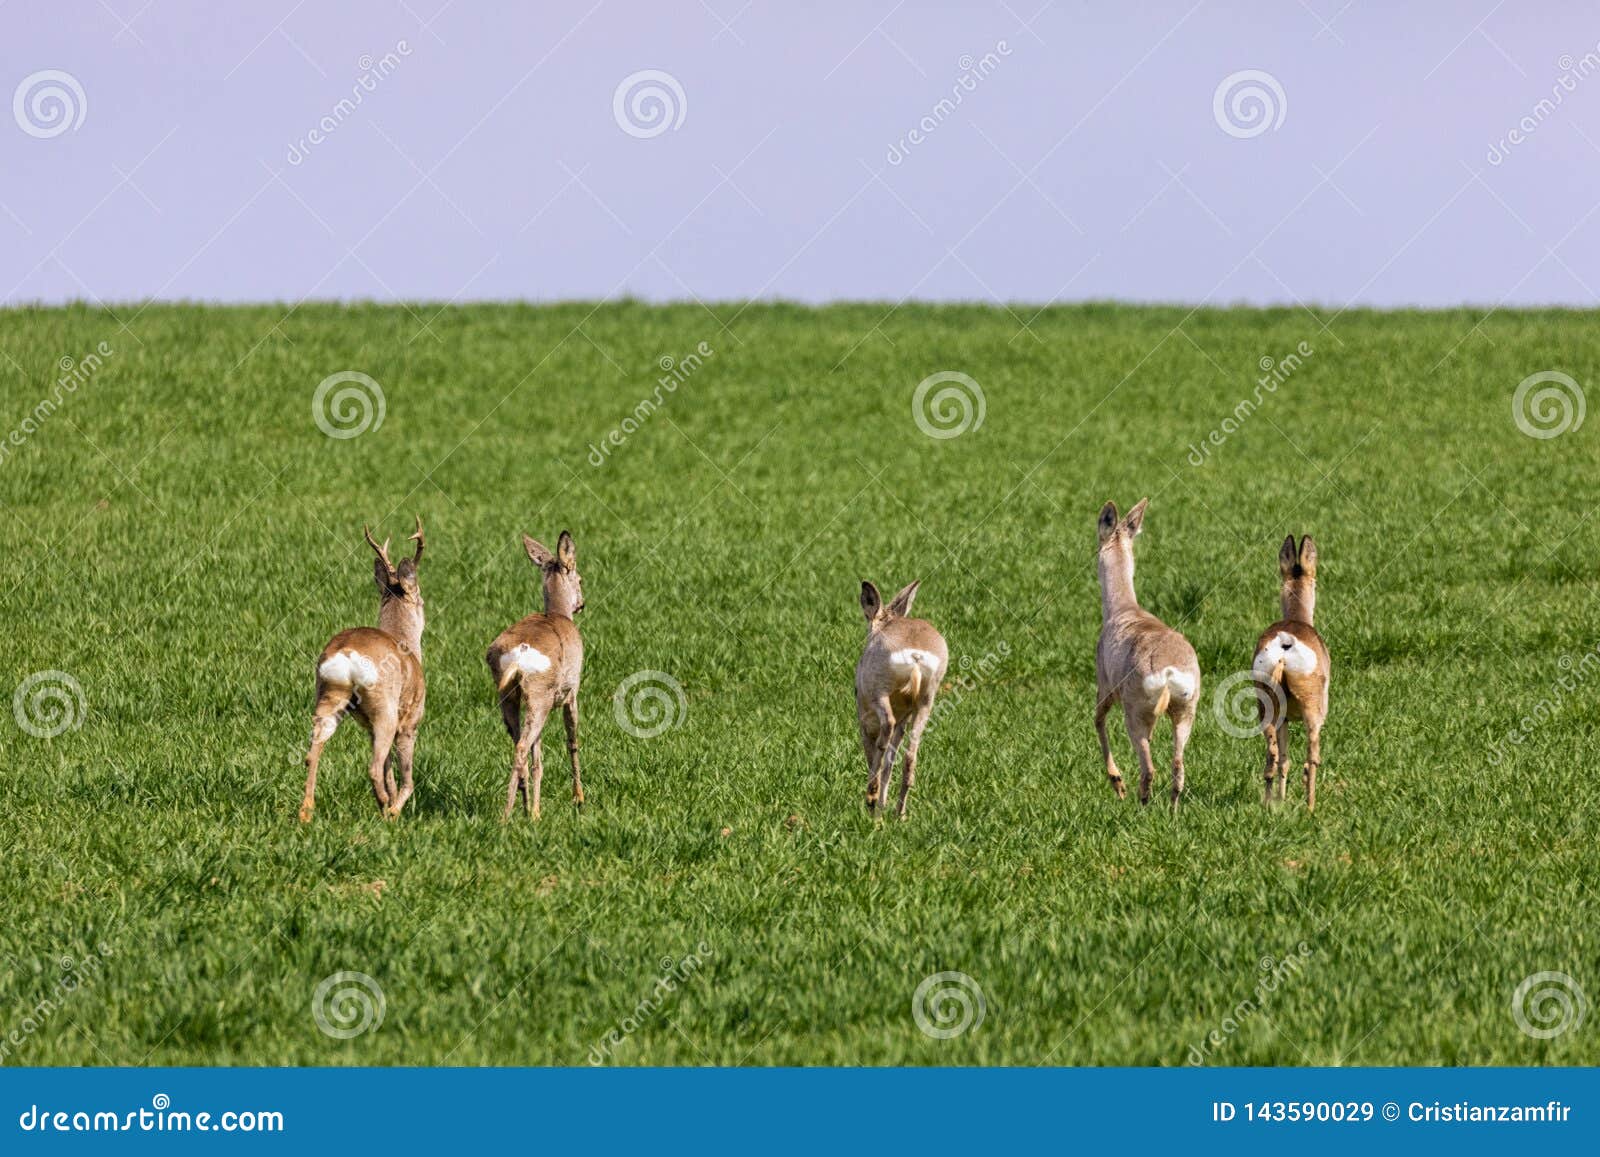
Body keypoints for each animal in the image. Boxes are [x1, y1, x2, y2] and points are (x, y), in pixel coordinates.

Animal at [299, 518, 426, 822]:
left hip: (328, 697)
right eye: (422, 600)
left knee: (313, 752)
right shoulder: (411, 720)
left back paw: (306, 812)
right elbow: (406, 778)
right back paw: (387, 808)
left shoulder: (368, 727)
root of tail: (346, 654)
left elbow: (390, 771)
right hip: (385, 708)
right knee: (373, 766)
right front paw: (394, 809)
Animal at [486, 531, 585, 821]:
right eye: (579, 578)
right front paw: (579, 798)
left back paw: (526, 808)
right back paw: (506, 816)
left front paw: (535, 809)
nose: (581, 604)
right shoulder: (571, 693)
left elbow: (538, 758)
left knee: (521, 747)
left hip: (510, 697)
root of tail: (519, 654)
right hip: (540, 697)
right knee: (522, 748)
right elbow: (572, 740)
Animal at [856, 579, 947, 819]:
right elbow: (891, 760)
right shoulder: (903, 720)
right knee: (909, 755)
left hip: (881, 696)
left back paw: (872, 798)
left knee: (886, 731)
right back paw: (899, 813)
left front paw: (875, 805)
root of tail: (916, 655)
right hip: (925, 703)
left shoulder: (865, 721)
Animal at [1094, 499, 1201, 807]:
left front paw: (1117, 784)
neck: (1124, 610)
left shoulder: (1105, 687)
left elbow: (1097, 719)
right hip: (1185, 712)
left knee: (1149, 769)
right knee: (1178, 767)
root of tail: (1167, 671)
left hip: (1135, 714)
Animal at [1253, 536, 1330, 809]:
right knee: (1312, 758)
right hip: (1313, 713)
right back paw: (1310, 806)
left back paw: (1270, 804)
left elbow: (1284, 759)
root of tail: (1285, 642)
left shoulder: (1284, 719)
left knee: (1274, 756)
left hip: (1267, 711)